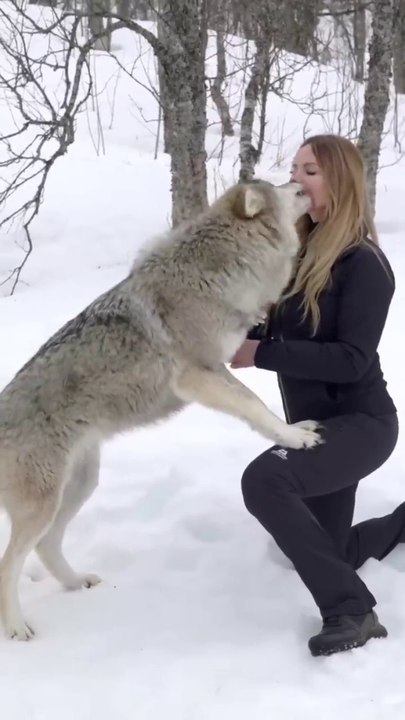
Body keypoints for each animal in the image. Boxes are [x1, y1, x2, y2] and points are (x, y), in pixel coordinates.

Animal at [0, 179, 321, 640]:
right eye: (285, 187)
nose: (299, 183)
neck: (216, 271)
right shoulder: (199, 375)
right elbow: (256, 405)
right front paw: (296, 438)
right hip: (44, 503)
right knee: (8, 563)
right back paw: (17, 628)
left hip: (80, 485)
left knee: (47, 545)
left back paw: (76, 583)